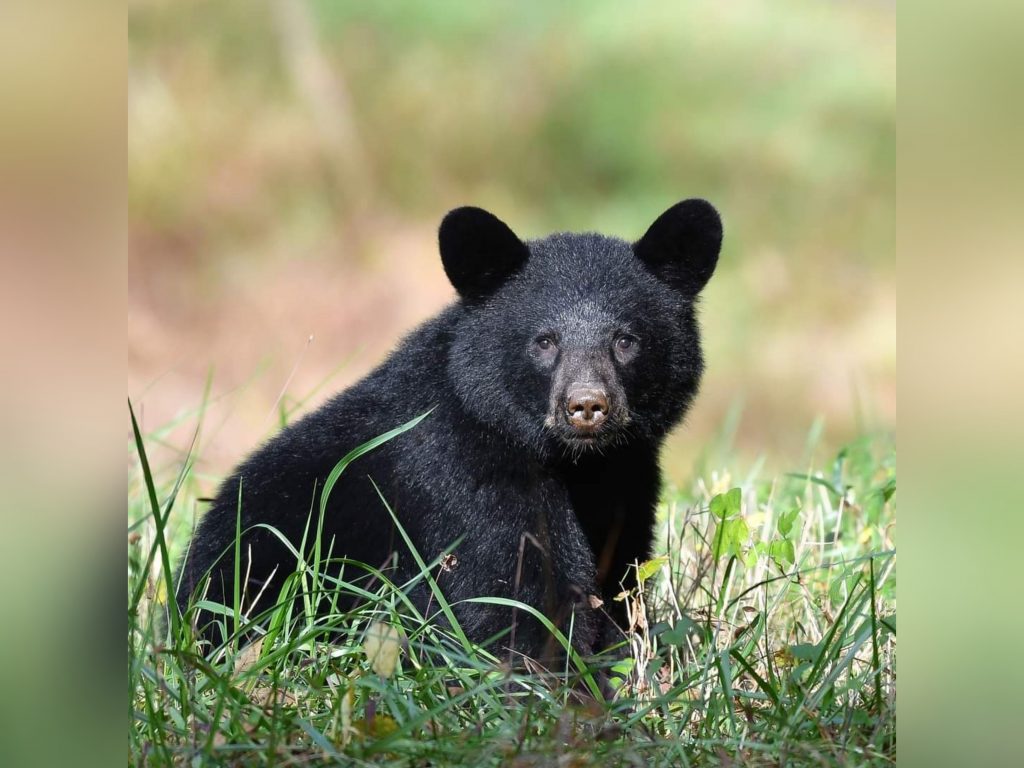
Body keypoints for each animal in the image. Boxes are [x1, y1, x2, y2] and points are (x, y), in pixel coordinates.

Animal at [175, 198, 722, 664]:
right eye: (544, 341)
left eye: (626, 340)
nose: (587, 406)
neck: (573, 463)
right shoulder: (462, 474)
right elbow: (509, 595)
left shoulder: (625, 476)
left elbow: (620, 576)